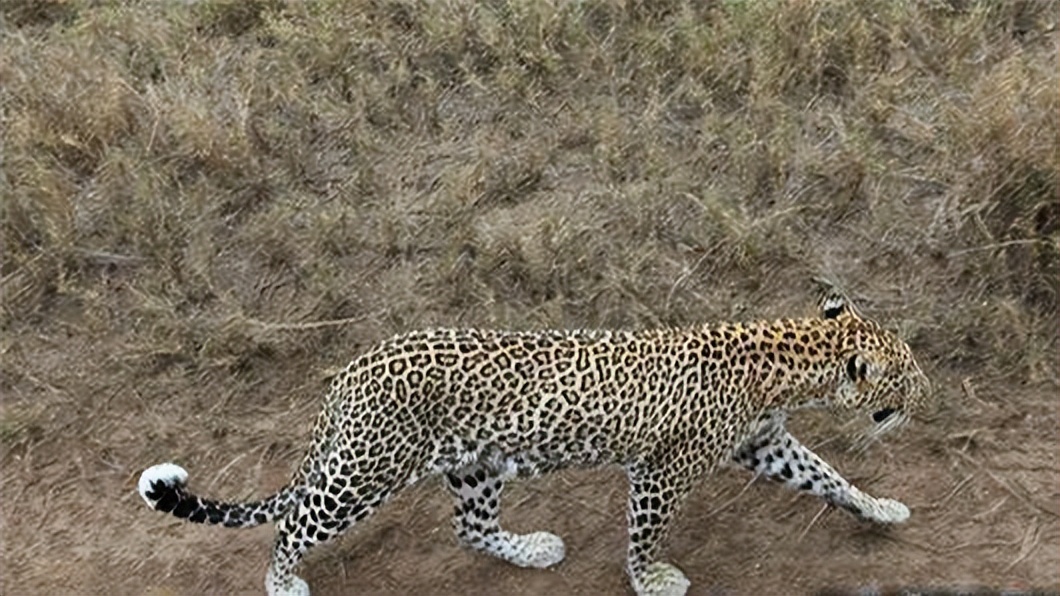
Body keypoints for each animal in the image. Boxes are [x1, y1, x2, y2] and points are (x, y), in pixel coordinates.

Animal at [137, 282, 930, 596]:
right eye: (906, 372)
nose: (929, 394)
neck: (789, 356)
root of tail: (351, 371)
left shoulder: (765, 446)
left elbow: (831, 478)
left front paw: (882, 509)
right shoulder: (663, 471)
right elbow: (645, 533)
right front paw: (650, 579)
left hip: (477, 464)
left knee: (471, 528)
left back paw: (533, 549)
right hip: (364, 472)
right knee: (295, 523)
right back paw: (282, 583)